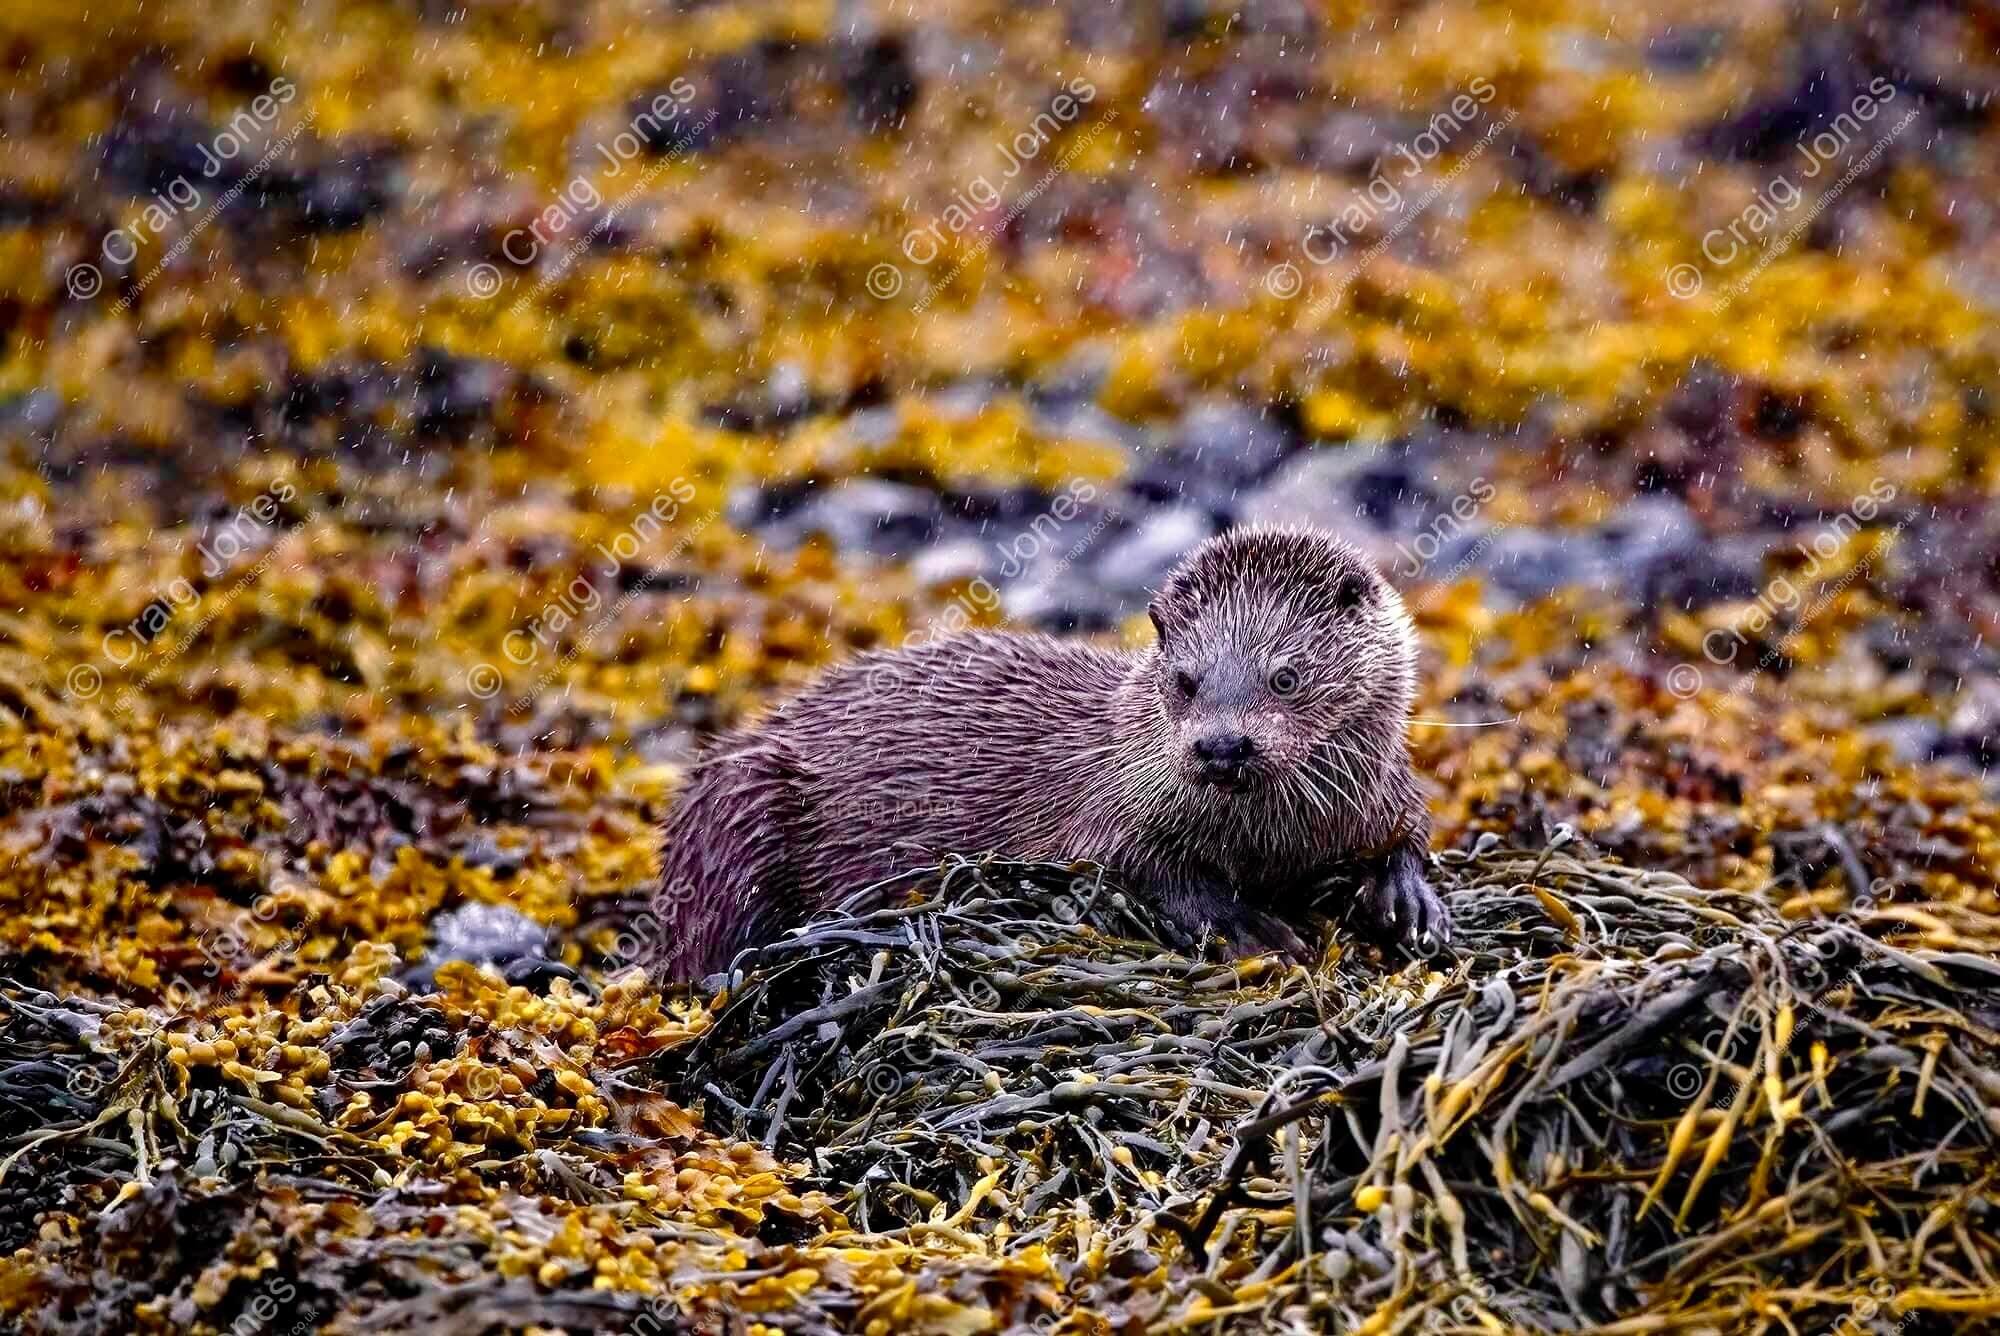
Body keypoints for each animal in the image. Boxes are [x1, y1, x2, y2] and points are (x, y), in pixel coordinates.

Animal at [651, 524, 1446, 980]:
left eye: (1285, 675)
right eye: (1186, 681)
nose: (1222, 745)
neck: (1277, 839)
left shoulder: (1387, 787)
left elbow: (1411, 830)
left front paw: (1409, 900)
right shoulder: (1115, 807)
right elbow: (1145, 868)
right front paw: (1248, 926)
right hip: (738, 801)